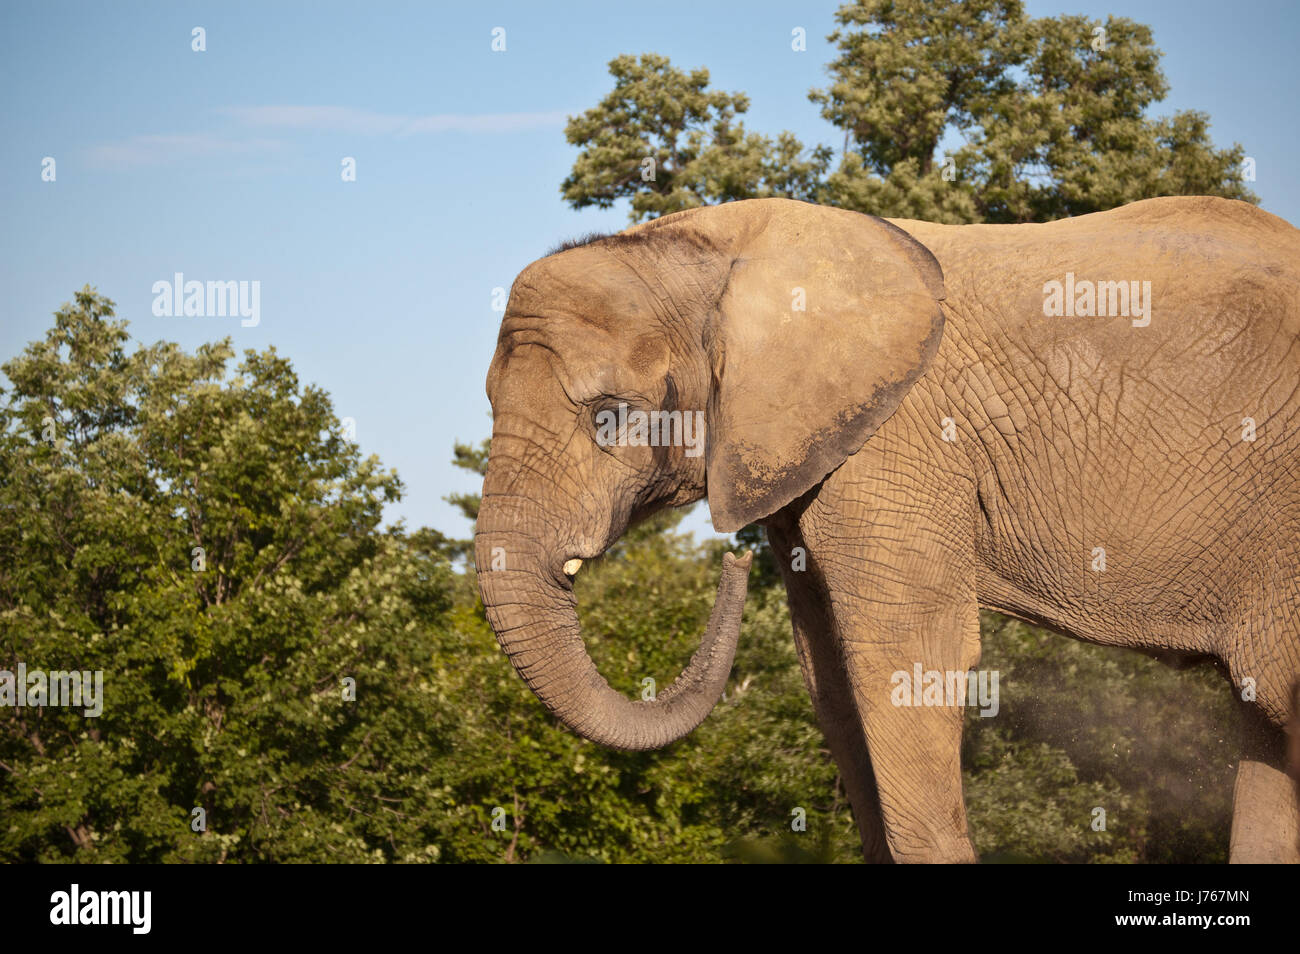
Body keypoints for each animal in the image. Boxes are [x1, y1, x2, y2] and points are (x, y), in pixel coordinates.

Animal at [475, 195, 1300, 863]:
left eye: (610, 415)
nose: (729, 569)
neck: (712, 247)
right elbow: (832, 679)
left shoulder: (897, 441)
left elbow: (904, 661)